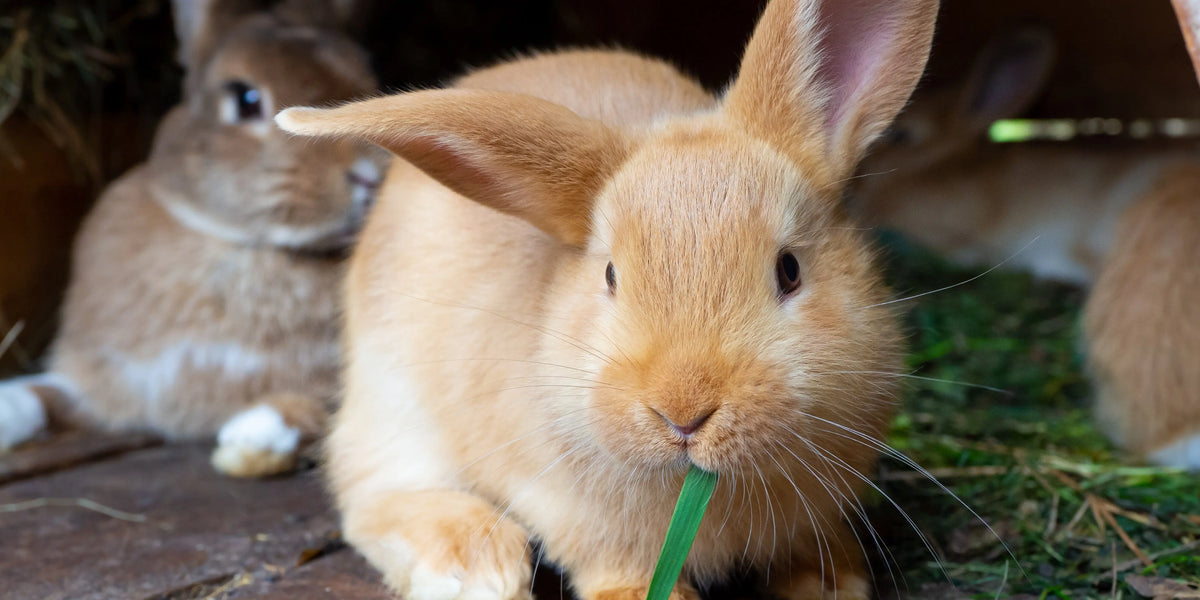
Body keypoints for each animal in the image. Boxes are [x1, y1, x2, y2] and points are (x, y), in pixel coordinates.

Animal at [0, 0, 385, 478]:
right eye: (245, 99)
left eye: (371, 83)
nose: (371, 174)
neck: (242, 245)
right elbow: (49, 393)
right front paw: (6, 408)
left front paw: (255, 436)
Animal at [273, 0, 939, 597]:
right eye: (611, 276)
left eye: (790, 270)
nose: (683, 413)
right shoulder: (577, 517)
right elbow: (616, 568)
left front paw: (832, 583)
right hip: (393, 403)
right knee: (374, 493)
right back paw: (474, 567)